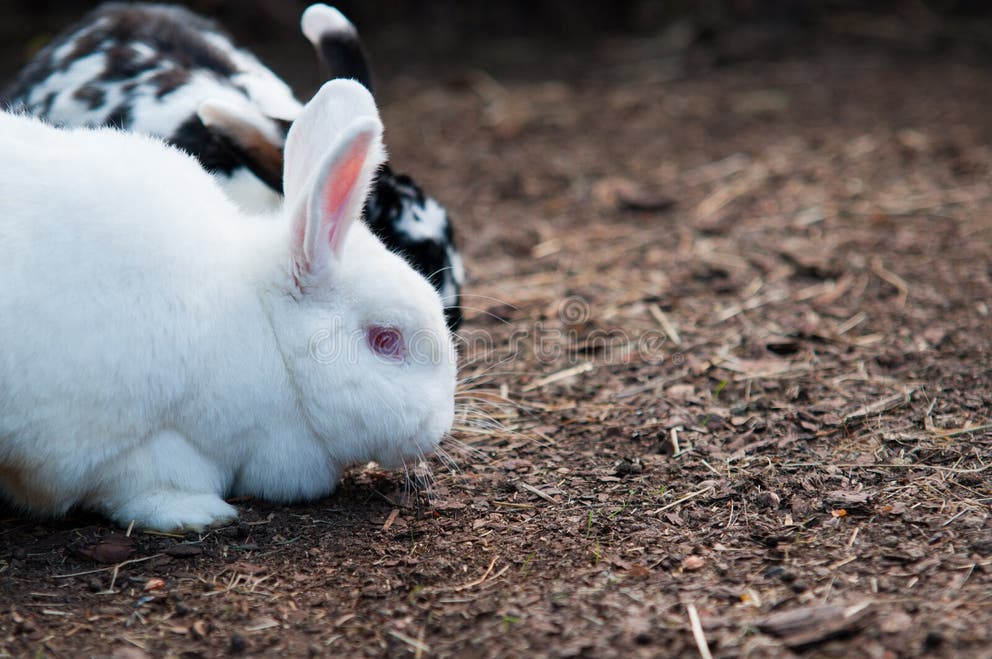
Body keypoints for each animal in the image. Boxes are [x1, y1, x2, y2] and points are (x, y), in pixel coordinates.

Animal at [0, 78, 457, 533]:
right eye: (385, 340)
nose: (440, 429)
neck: (266, 330)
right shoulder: (110, 441)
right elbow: (134, 485)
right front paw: (196, 513)